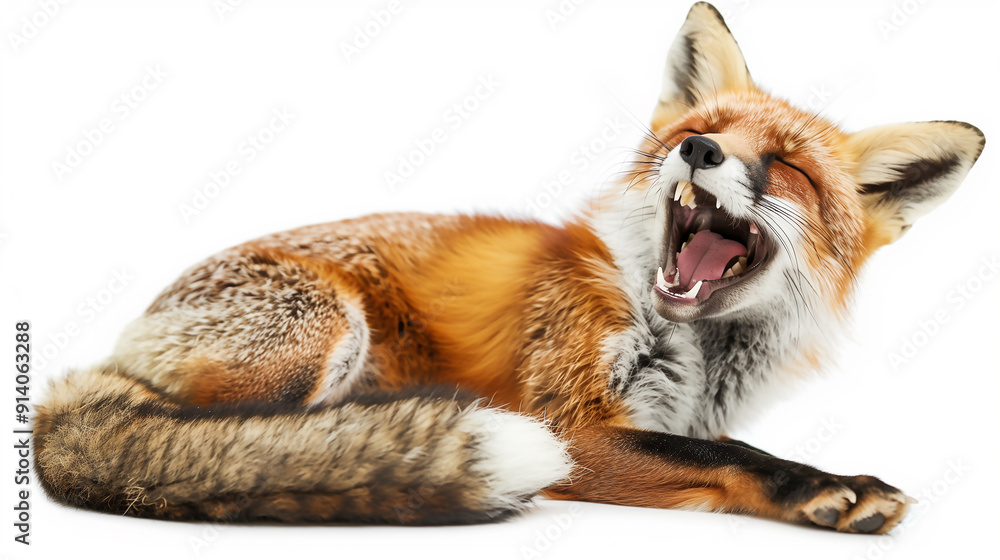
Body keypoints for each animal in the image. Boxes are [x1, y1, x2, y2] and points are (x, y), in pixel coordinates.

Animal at [34, 2, 984, 535]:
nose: (700, 152)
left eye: (786, 166)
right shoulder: (572, 428)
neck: (693, 347)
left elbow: (720, 443)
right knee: (218, 437)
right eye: (696, 133)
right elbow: (738, 456)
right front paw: (824, 486)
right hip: (322, 332)